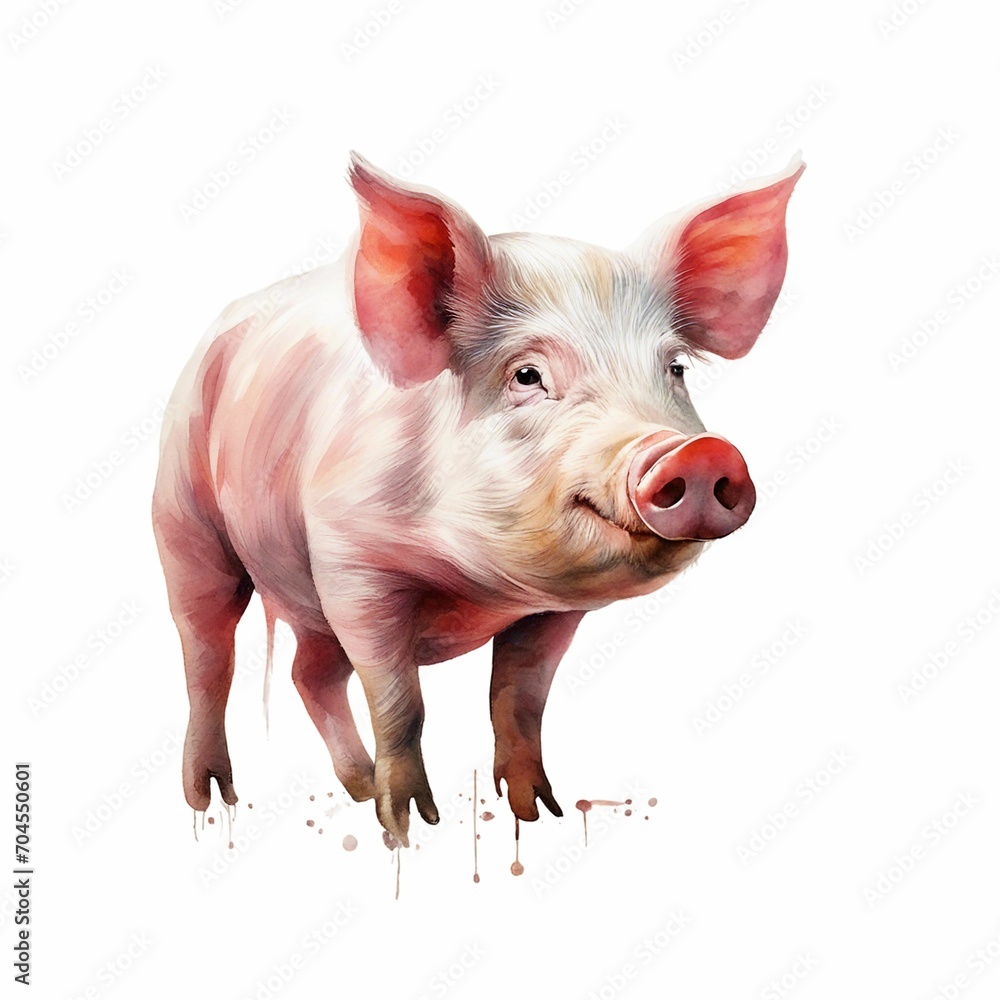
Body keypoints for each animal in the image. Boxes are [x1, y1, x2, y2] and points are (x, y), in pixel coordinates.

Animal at [152, 152, 804, 846]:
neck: (482, 585)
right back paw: (211, 800)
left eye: (674, 369)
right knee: (207, 654)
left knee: (311, 673)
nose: (702, 455)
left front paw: (538, 812)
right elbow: (402, 705)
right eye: (527, 375)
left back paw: (357, 788)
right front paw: (413, 829)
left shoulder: (550, 612)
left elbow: (519, 700)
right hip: (183, 516)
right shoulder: (350, 561)